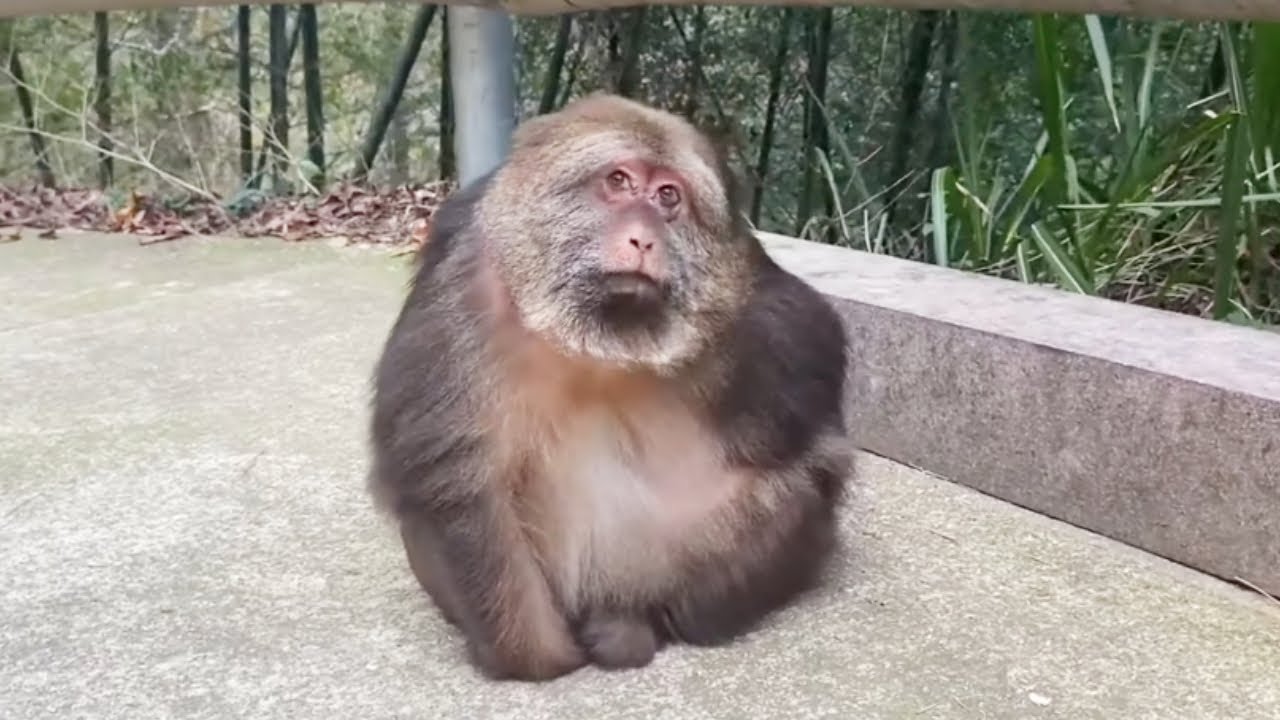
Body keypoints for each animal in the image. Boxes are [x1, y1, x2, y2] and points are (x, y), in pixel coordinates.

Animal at [366, 93, 854, 682]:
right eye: (618, 181)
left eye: (668, 196)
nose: (643, 237)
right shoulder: (464, 277)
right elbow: (451, 470)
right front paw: (537, 656)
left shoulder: (744, 280)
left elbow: (808, 368)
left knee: (810, 477)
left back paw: (649, 621)